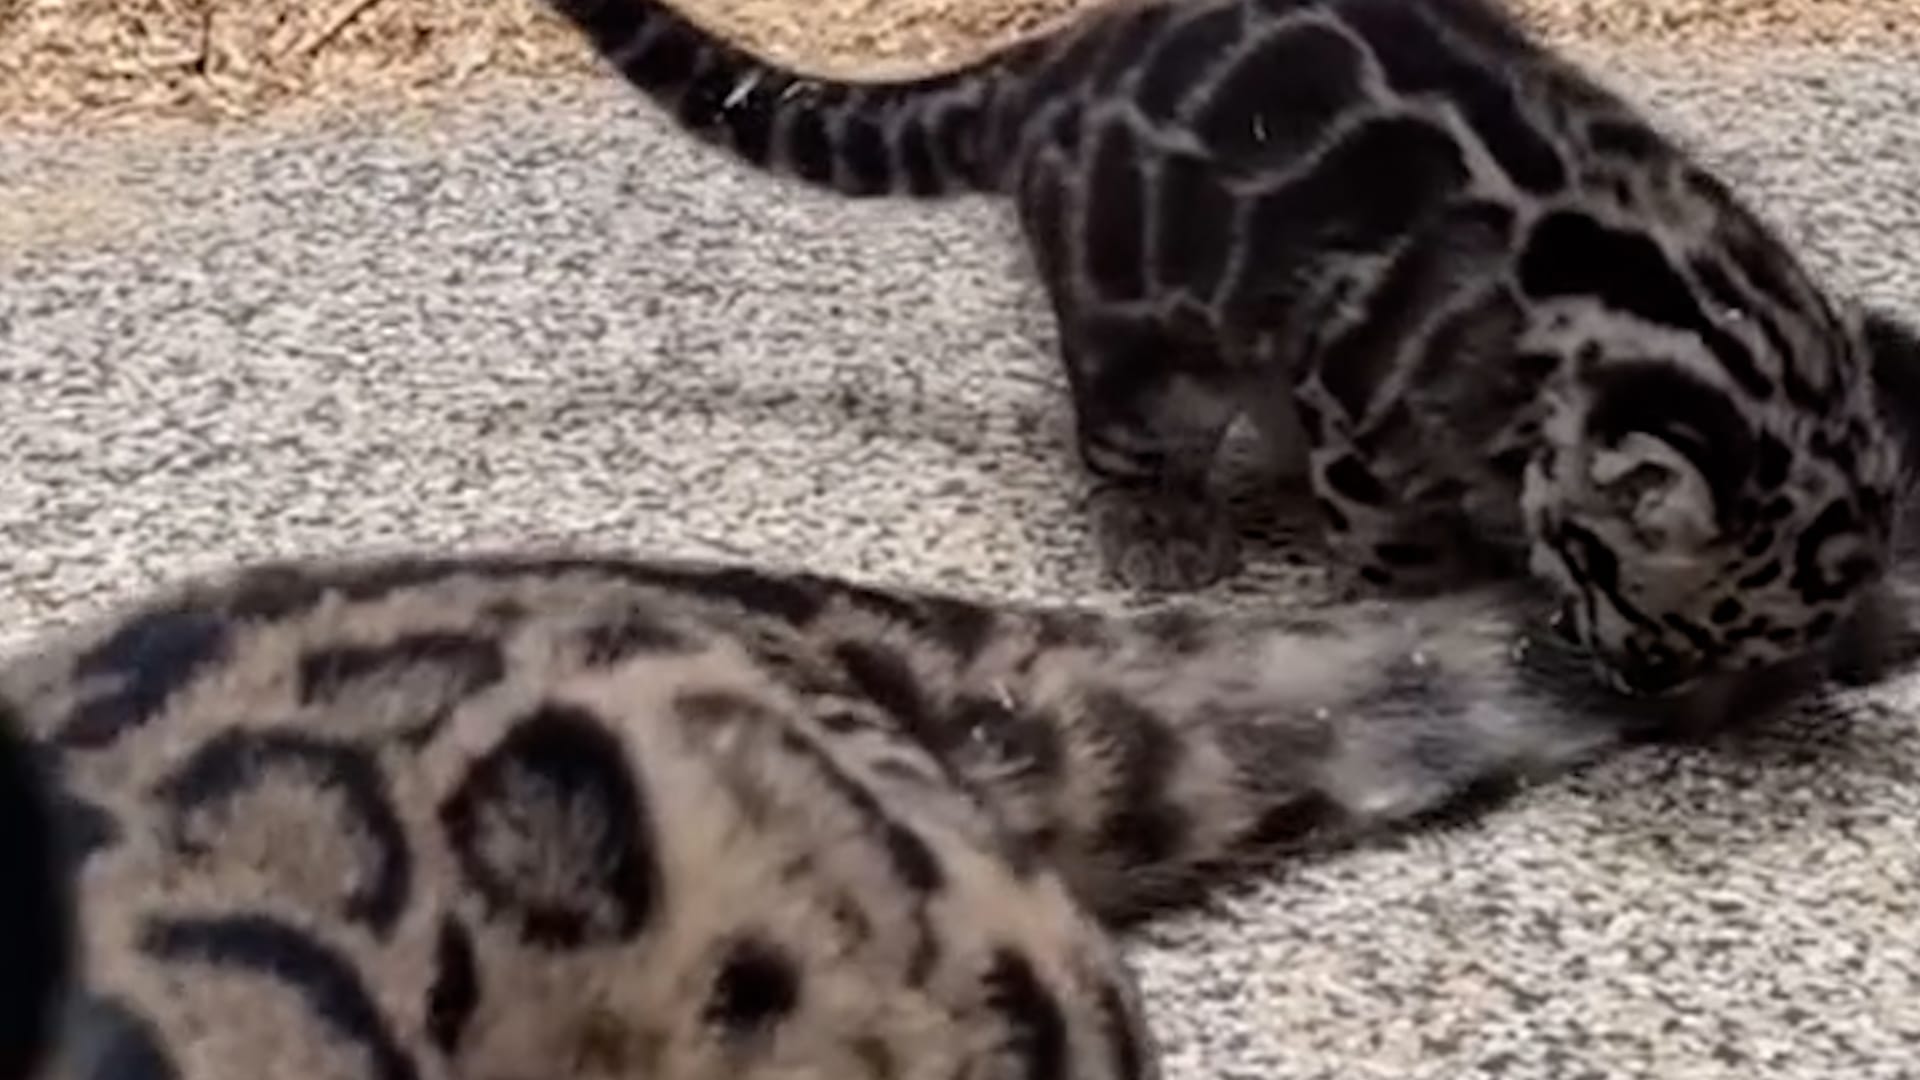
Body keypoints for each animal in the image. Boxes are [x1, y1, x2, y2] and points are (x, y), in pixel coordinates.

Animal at [533, 0, 1920, 699]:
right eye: (1653, 621)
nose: (1642, 687)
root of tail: (1060, 61)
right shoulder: (1357, 399)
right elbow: (1389, 541)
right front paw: (1426, 603)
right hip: (1145, 339)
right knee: (1121, 427)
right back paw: (1162, 524)